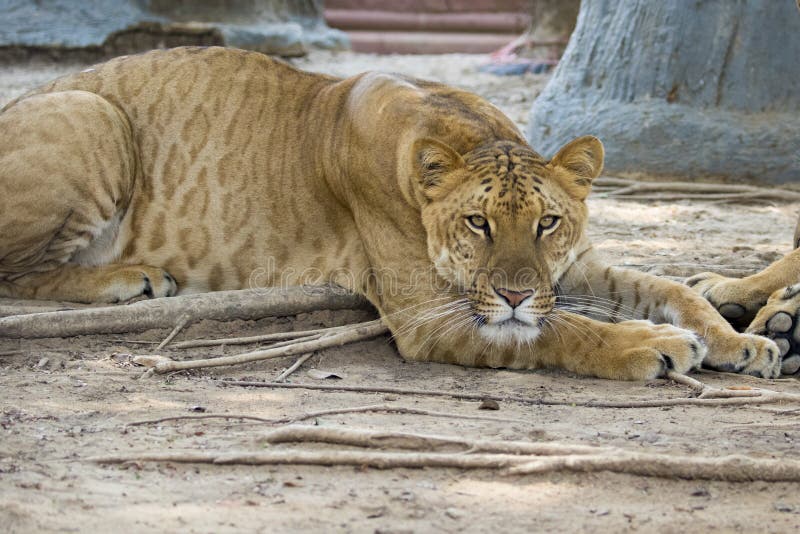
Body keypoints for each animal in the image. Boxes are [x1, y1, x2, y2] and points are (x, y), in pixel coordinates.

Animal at [0, 47, 782, 380]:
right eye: (477, 224)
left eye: (547, 223)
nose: (515, 291)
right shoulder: (429, 315)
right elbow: (563, 332)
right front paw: (653, 347)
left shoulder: (570, 267)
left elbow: (670, 286)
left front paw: (740, 343)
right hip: (92, 113)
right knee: (16, 272)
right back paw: (129, 278)